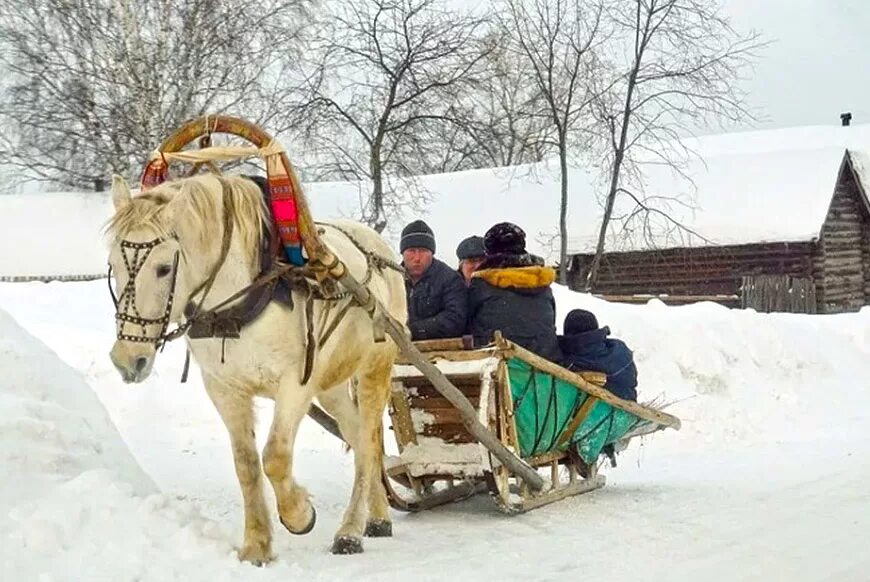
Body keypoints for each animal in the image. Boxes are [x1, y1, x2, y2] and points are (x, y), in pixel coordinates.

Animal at [105, 173, 408, 563]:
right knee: (358, 438)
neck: (239, 302)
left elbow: (275, 457)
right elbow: (246, 464)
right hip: (332, 384)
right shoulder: (223, 388)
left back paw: (351, 531)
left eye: (163, 268)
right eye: (113, 265)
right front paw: (256, 546)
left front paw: (299, 514)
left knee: (370, 441)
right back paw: (376, 515)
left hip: (375, 368)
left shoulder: (295, 384)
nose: (127, 359)